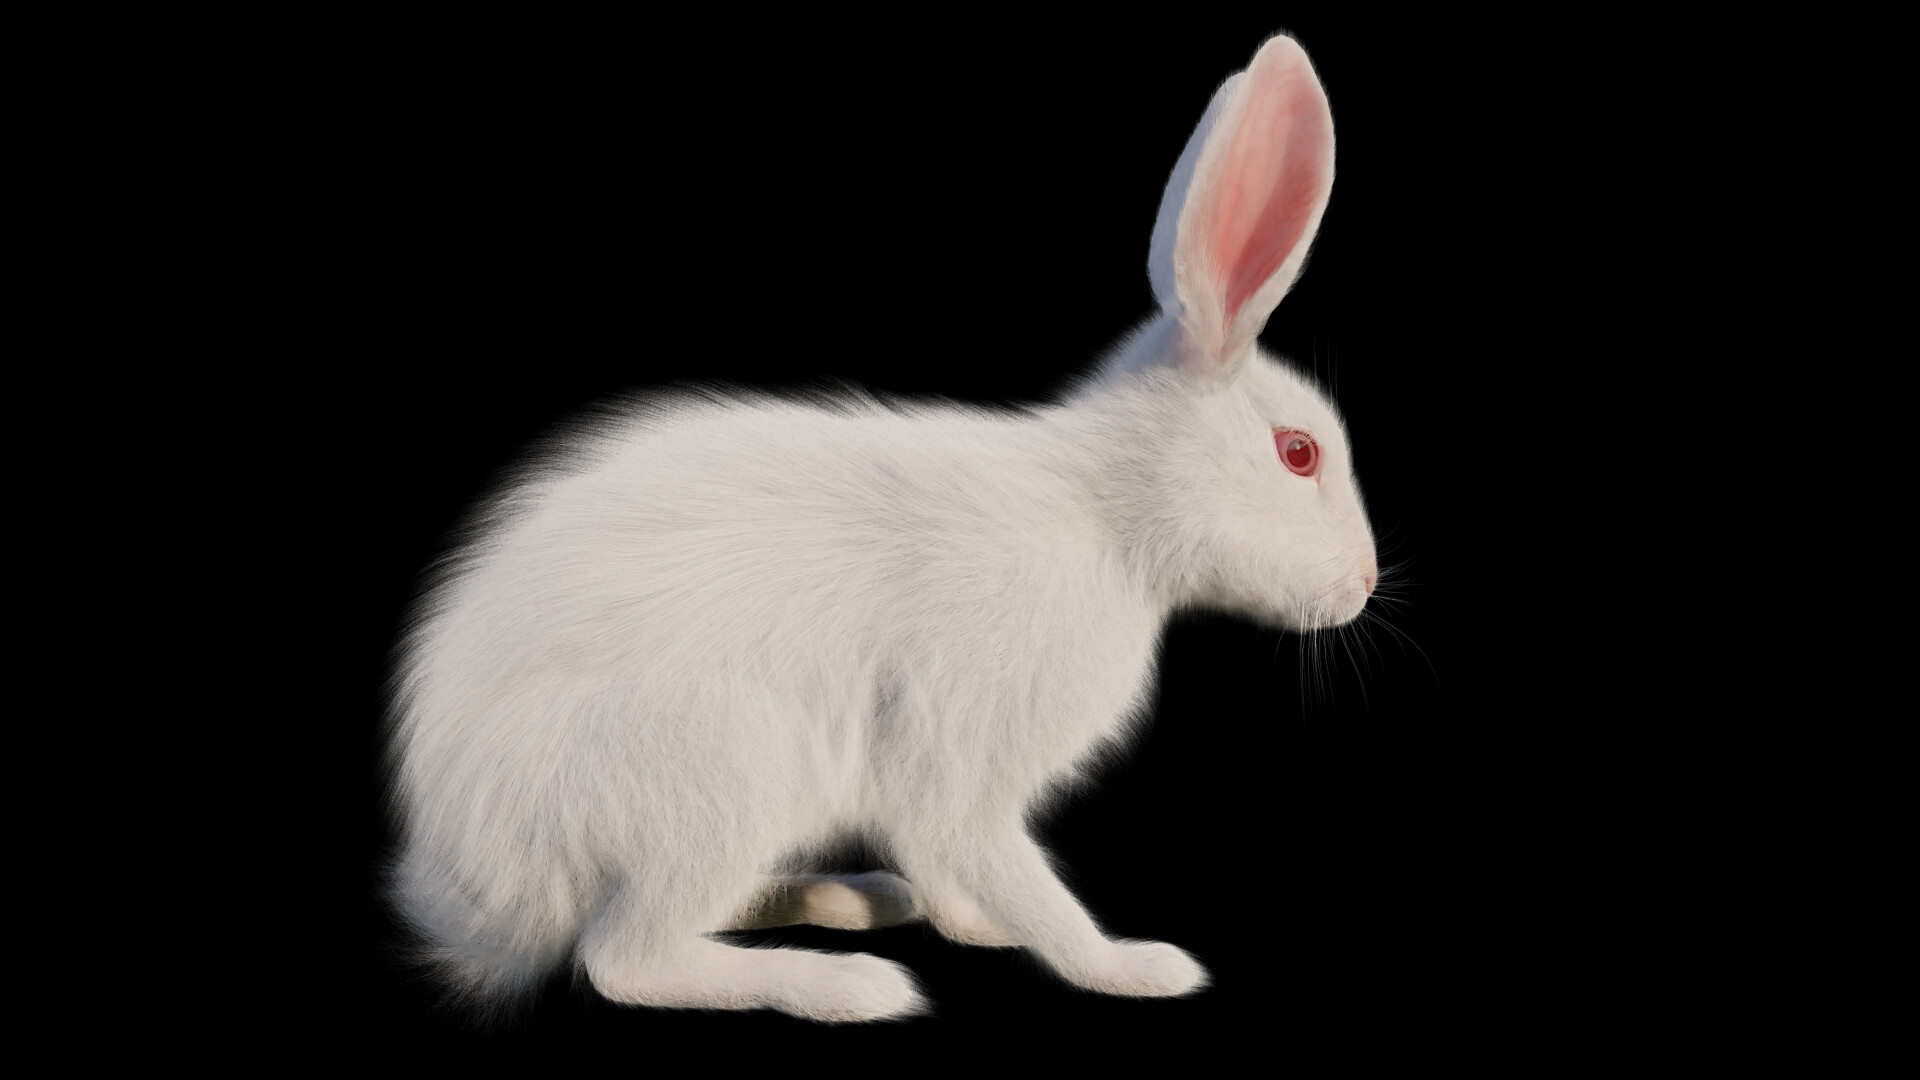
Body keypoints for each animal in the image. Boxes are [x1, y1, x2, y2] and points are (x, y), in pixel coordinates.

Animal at [387, 33, 1376, 1024]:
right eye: (1298, 453)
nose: (1364, 587)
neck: (1106, 517)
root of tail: (471, 896)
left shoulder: (925, 785)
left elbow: (946, 864)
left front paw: (975, 927)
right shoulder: (961, 761)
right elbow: (1018, 878)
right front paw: (1133, 968)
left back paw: (854, 898)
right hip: (726, 771)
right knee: (628, 956)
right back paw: (848, 983)